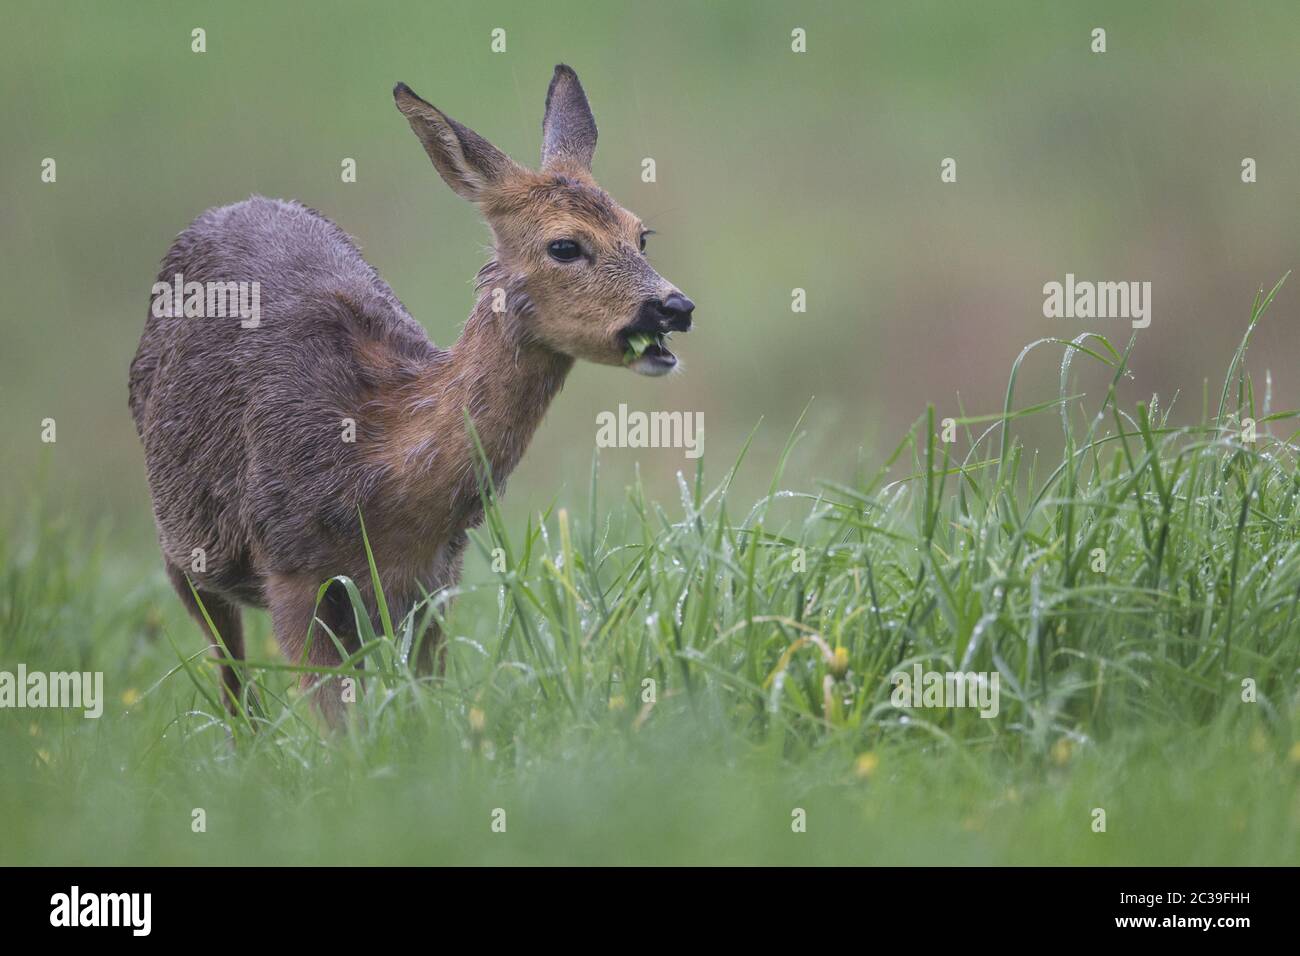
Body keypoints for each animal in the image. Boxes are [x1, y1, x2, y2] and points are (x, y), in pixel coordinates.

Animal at [128, 65, 695, 726]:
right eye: (564, 246)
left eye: (641, 234)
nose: (674, 307)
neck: (379, 461)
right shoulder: (290, 567)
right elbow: (334, 722)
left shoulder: (436, 577)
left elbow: (428, 702)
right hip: (183, 544)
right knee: (233, 681)